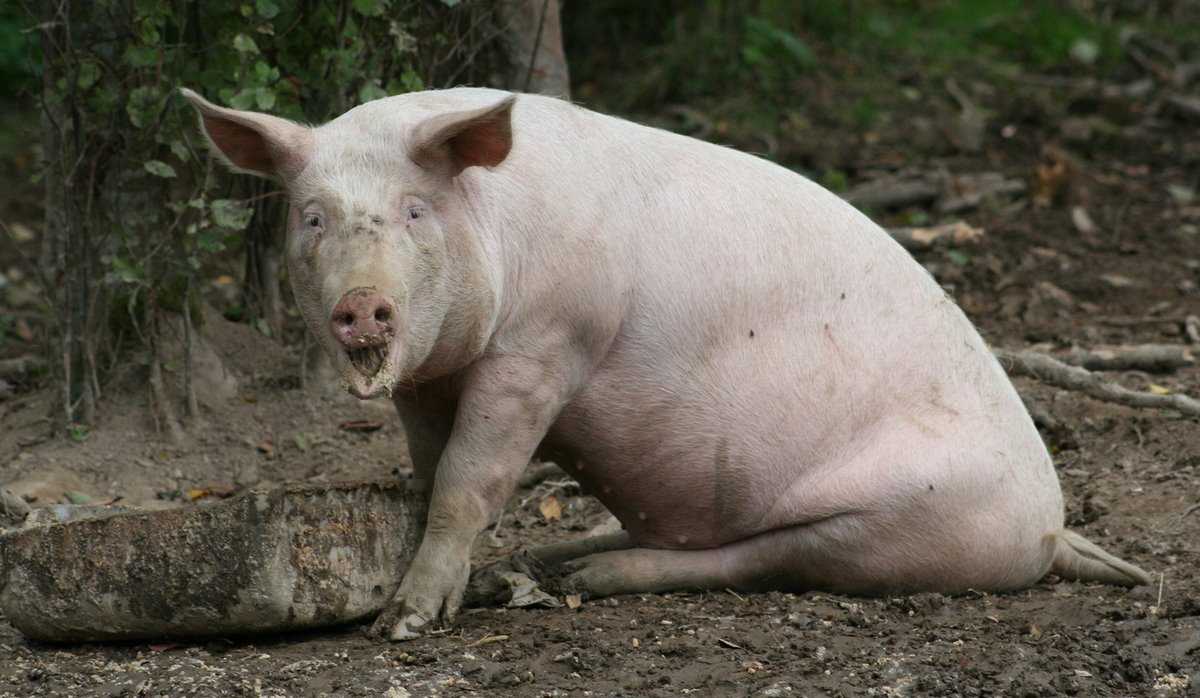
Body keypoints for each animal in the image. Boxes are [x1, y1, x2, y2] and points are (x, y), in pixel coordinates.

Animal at [182, 86, 1152, 641]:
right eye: (312, 215)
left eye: (416, 210)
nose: (362, 304)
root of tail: (1052, 529)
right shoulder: (427, 377)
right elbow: (427, 475)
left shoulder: (547, 345)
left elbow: (469, 478)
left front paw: (403, 625)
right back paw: (546, 565)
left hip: (898, 519)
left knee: (759, 560)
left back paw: (580, 580)